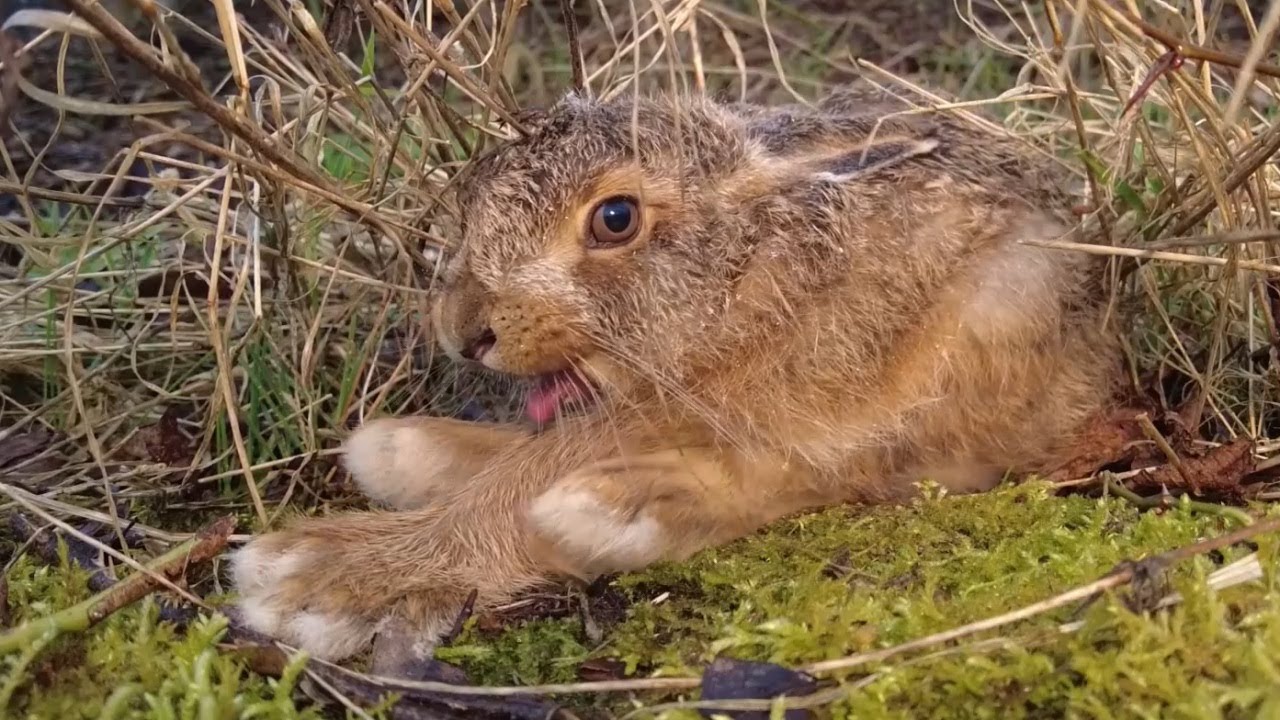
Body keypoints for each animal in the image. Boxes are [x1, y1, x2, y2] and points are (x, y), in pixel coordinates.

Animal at [228, 83, 1122, 666]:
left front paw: (315, 578)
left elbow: (529, 478)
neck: (741, 267)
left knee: (857, 475)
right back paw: (413, 451)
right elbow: (535, 451)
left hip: (978, 330)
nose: (465, 330)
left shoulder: (721, 398)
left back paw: (622, 511)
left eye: (616, 218)